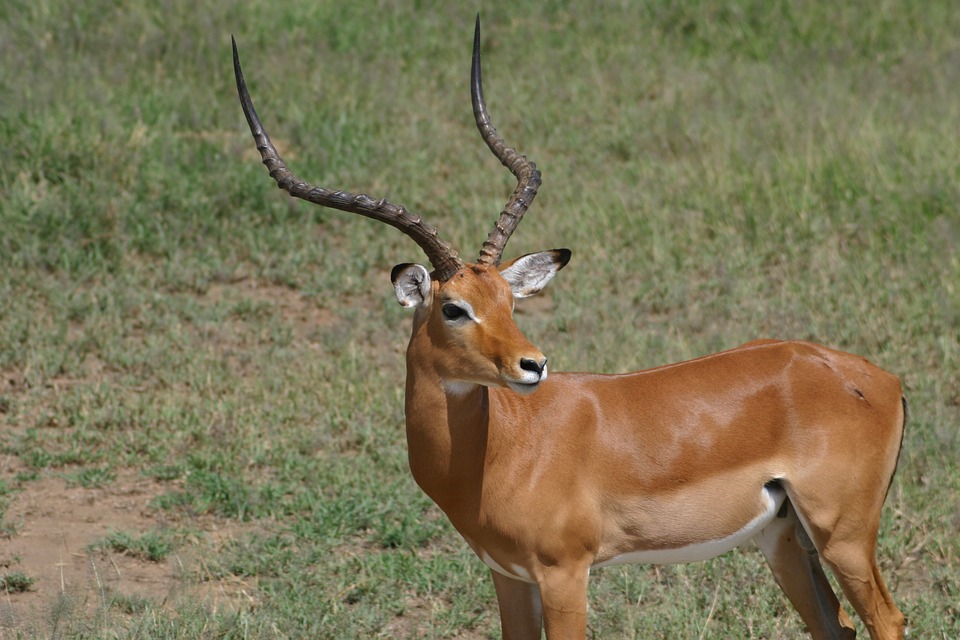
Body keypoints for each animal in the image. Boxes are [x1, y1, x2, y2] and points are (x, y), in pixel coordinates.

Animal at [232, 18, 906, 640]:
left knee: (887, 619)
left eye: (508, 299)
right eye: (455, 308)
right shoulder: (506, 574)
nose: (532, 364)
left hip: (843, 535)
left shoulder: (564, 573)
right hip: (785, 539)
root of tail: (881, 379)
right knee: (836, 626)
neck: (502, 451)